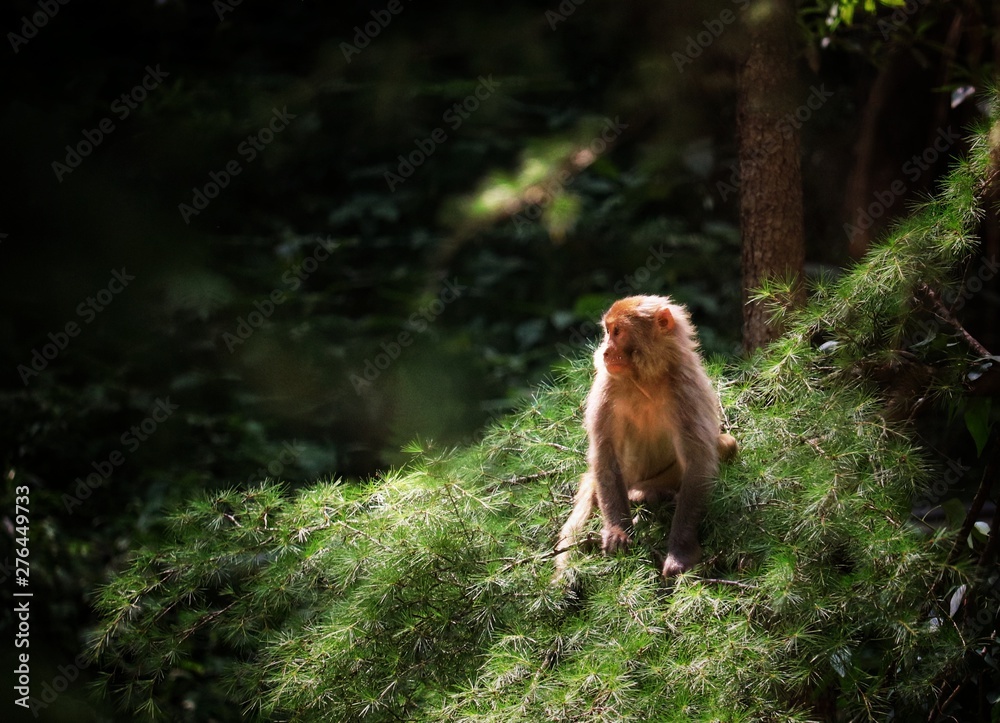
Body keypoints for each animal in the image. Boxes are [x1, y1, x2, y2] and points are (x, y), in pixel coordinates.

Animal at [555, 295, 737, 578]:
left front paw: (681, 552)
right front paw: (618, 531)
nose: (605, 351)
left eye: (617, 332)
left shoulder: (686, 385)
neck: (646, 377)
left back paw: (649, 493)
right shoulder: (607, 383)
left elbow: (698, 460)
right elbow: (605, 452)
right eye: (608, 331)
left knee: (726, 445)